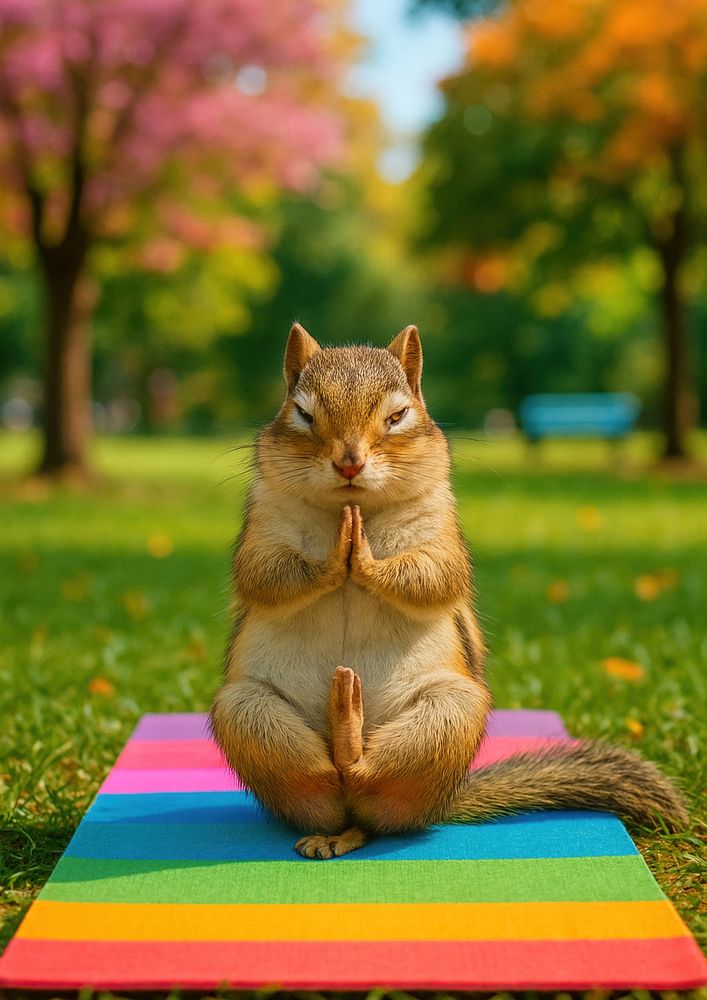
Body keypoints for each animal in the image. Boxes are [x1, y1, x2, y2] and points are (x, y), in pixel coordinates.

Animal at [211, 322, 688, 860]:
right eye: (303, 414)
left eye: (398, 416)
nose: (350, 463)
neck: (353, 510)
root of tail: (441, 800)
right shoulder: (260, 531)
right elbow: (264, 575)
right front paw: (338, 556)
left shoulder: (442, 531)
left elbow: (436, 576)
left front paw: (362, 557)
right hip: (245, 712)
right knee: (330, 791)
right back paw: (337, 779)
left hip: (450, 715)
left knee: (369, 794)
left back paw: (350, 737)